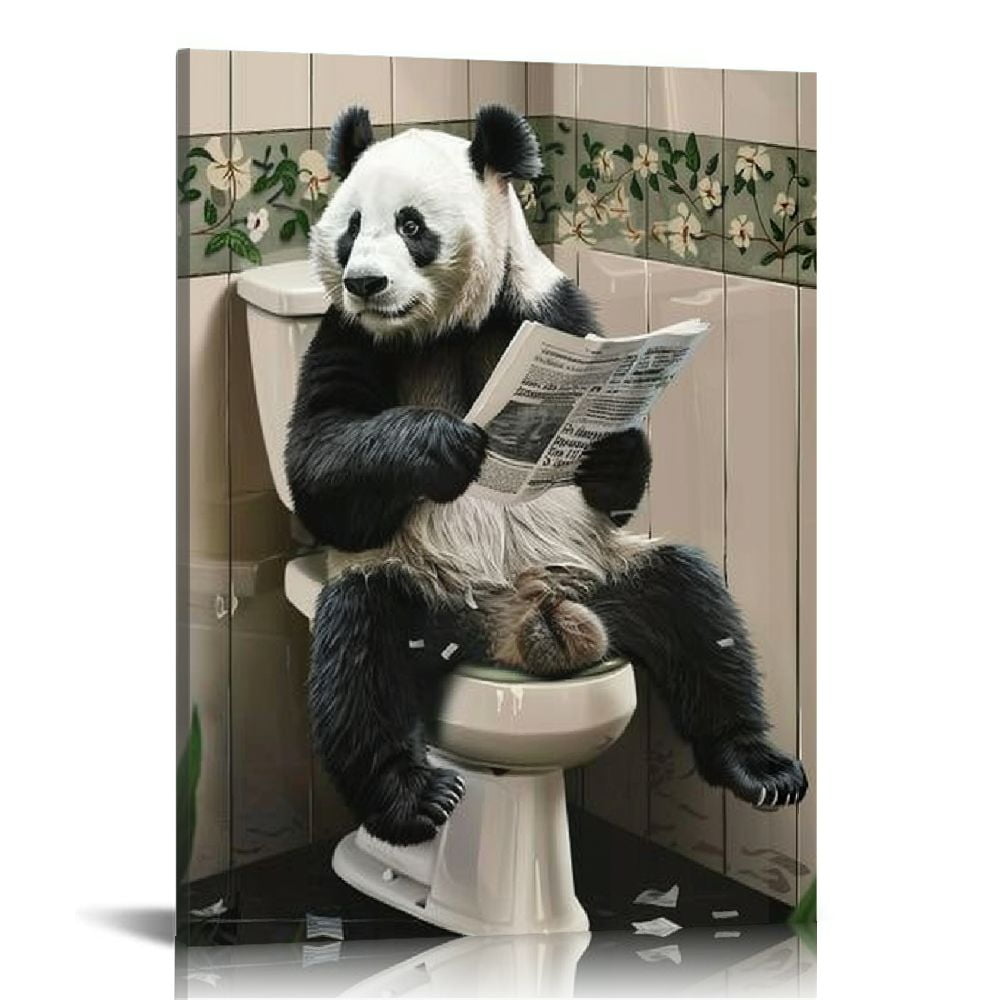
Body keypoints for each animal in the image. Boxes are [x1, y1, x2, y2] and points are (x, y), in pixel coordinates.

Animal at [287, 104, 808, 846]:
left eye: (412, 226)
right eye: (353, 226)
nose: (365, 283)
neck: (445, 328)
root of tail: (515, 626)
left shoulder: (552, 313)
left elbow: (614, 488)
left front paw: (610, 449)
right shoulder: (348, 336)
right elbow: (320, 470)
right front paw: (443, 445)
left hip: (604, 571)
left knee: (698, 611)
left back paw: (757, 764)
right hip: (416, 581)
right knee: (362, 650)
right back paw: (412, 799)